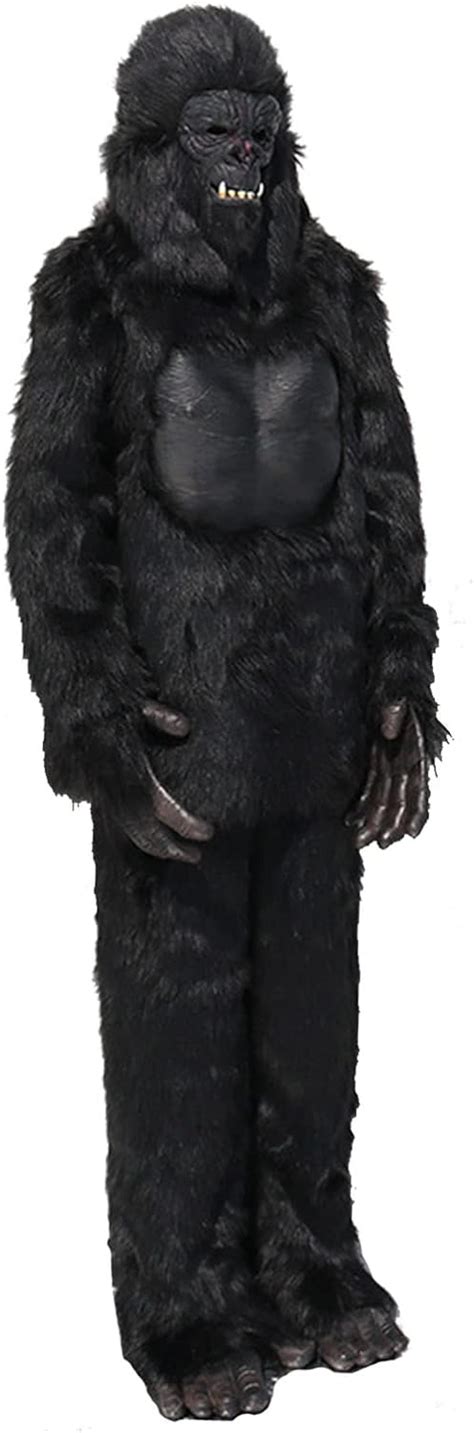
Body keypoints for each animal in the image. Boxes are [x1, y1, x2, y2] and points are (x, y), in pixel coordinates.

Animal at [6, 5, 448, 1421]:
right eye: (207, 129)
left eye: (260, 126)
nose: (247, 159)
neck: (225, 285)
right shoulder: (66, 312)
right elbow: (56, 503)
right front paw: (191, 1339)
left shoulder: (353, 304)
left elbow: (387, 480)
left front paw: (406, 721)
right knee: (179, 997)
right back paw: (201, 1340)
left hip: (307, 824)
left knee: (308, 982)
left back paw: (328, 1302)